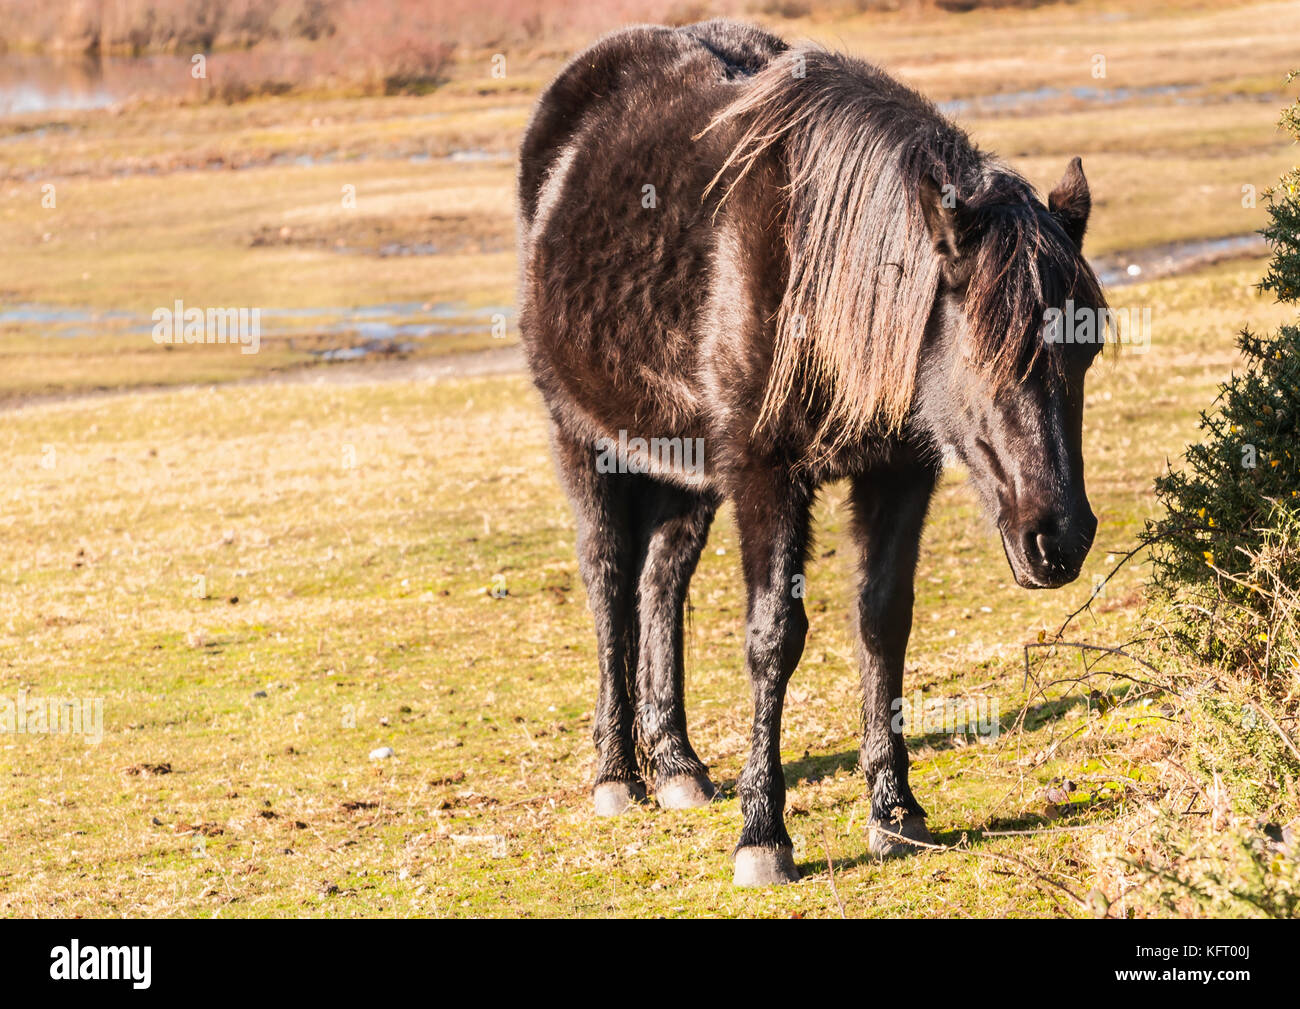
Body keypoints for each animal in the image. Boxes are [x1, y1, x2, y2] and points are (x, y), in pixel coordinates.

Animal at [516, 19, 1105, 886]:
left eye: (1087, 353)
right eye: (988, 351)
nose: (1059, 538)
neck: (814, 270)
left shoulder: (900, 471)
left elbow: (882, 622)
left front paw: (896, 810)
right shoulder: (765, 474)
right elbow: (773, 639)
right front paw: (763, 832)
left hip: (685, 465)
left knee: (660, 581)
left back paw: (676, 763)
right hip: (582, 439)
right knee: (609, 579)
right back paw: (618, 773)